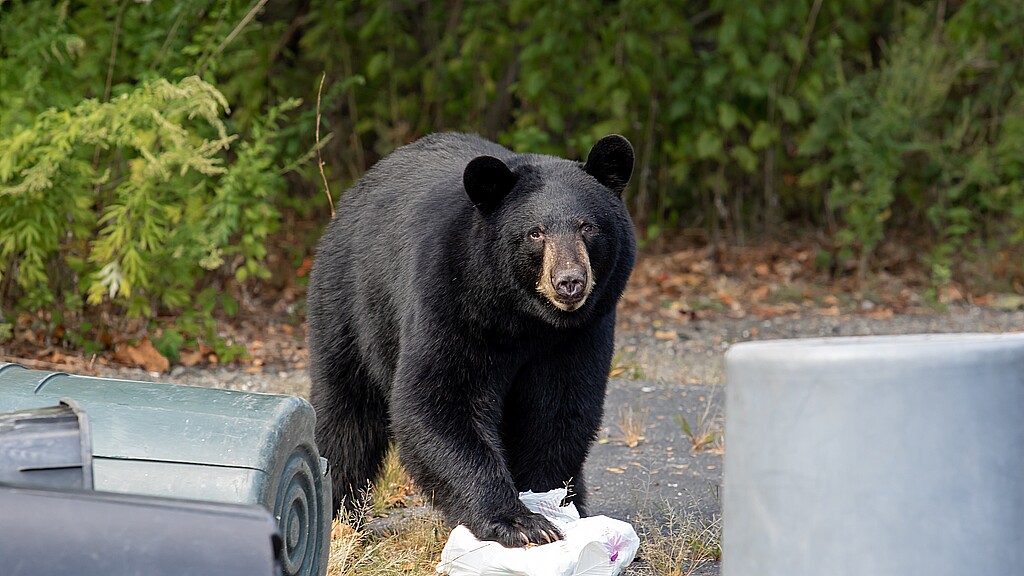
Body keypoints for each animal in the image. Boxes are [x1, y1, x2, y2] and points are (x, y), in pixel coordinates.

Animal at [306, 132, 636, 547]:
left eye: (588, 227)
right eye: (535, 232)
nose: (569, 282)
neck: (525, 318)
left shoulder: (581, 332)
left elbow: (559, 408)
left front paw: (549, 503)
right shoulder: (451, 302)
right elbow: (438, 400)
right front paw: (521, 523)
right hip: (352, 304)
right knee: (346, 413)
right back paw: (340, 518)